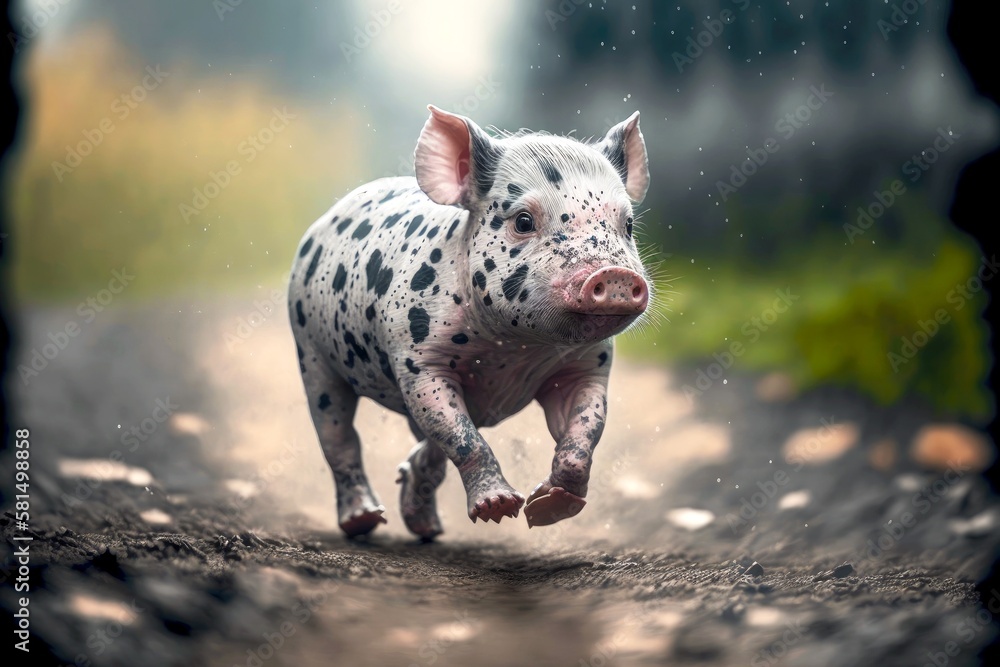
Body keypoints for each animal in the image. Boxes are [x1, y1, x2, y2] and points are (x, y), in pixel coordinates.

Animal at [288, 105, 652, 540]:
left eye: (628, 226)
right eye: (524, 221)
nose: (615, 274)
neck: (515, 351)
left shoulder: (588, 367)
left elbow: (583, 433)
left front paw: (545, 508)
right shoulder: (418, 362)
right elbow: (462, 437)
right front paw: (499, 509)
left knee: (423, 451)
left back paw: (428, 530)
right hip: (310, 353)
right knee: (339, 438)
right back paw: (363, 521)